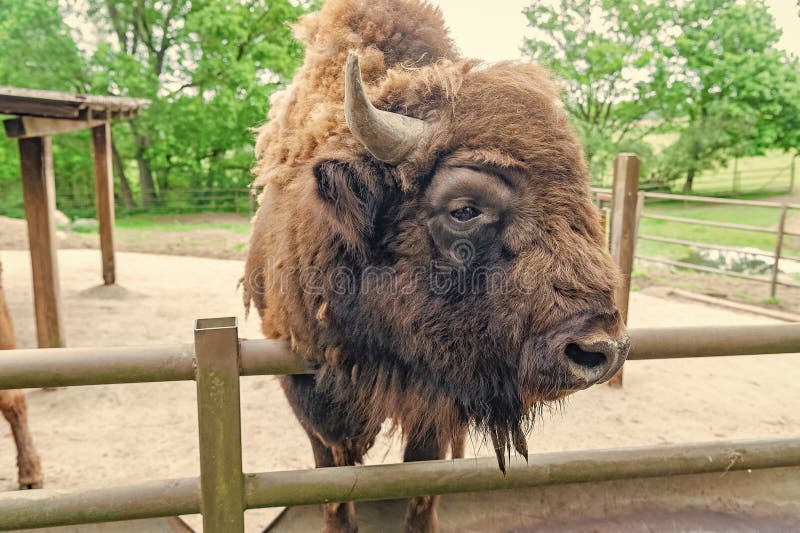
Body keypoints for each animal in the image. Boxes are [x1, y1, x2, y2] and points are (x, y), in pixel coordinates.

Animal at [243, 0, 629, 531]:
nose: (600, 349)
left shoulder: (436, 408)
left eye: (584, 205)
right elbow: (335, 493)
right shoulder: (310, 397)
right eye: (464, 209)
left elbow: (423, 481)